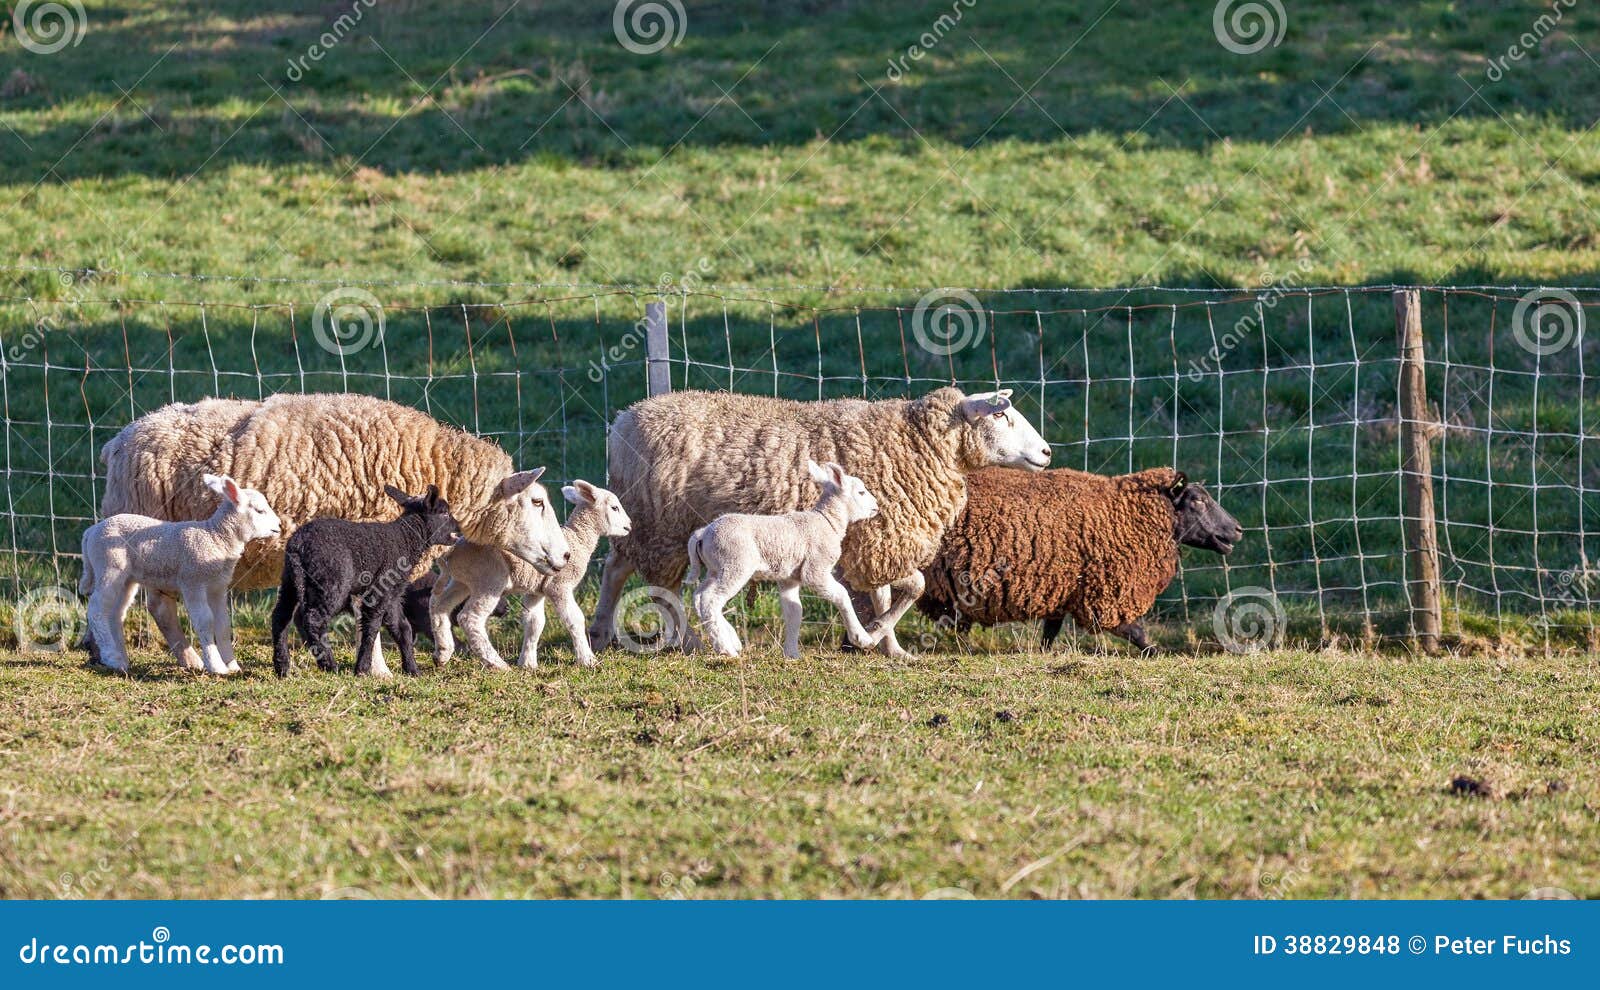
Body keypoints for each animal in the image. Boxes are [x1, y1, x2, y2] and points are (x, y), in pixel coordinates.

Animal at [78, 474, 281, 675]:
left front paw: (233, 666)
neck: (215, 537)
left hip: (127, 578)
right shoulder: (193, 581)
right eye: (260, 511)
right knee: (97, 609)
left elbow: (223, 624)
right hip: (109, 566)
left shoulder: (218, 587)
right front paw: (217, 666)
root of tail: (91, 532)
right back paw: (111, 655)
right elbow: (205, 621)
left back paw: (120, 660)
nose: (279, 525)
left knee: (115, 613)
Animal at [271, 485, 461, 678]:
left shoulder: (393, 595)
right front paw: (362, 668)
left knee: (280, 617)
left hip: (290, 581)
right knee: (313, 620)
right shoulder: (379, 589)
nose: (459, 528)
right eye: (444, 513)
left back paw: (282, 667)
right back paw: (329, 665)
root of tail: (298, 545)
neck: (406, 539)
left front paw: (412, 669)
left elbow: (402, 629)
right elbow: (372, 627)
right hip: (331, 582)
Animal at [429, 480, 632, 670]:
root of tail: (450, 551)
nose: (629, 526)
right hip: (489, 578)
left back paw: (442, 653)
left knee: (439, 605)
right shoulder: (559, 585)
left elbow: (534, 623)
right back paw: (496, 664)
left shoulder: (537, 589)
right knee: (469, 617)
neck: (578, 540)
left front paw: (528, 663)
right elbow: (574, 619)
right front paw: (588, 660)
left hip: (463, 580)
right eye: (614, 507)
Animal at [686, 460, 881, 659]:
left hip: (715, 568)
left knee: (699, 597)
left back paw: (732, 639)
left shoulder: (789, 578)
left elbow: (794, 611)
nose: (876, 505)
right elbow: (841, 594)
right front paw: (862, 638)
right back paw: (726, 648)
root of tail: (703, 533)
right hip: (735, 563)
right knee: (711, 599)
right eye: (861, 492)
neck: (828, 522)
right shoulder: (816, 568)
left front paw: (792, 654)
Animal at [916, 466, 1243, 653]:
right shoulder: (1105, 594)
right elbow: (1136, 631)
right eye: (1197, 500)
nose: (1238, 529)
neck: (1127, 514)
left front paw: (1042, 654)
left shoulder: (1060, 588)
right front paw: (1156, 652)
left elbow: (1050, 632)